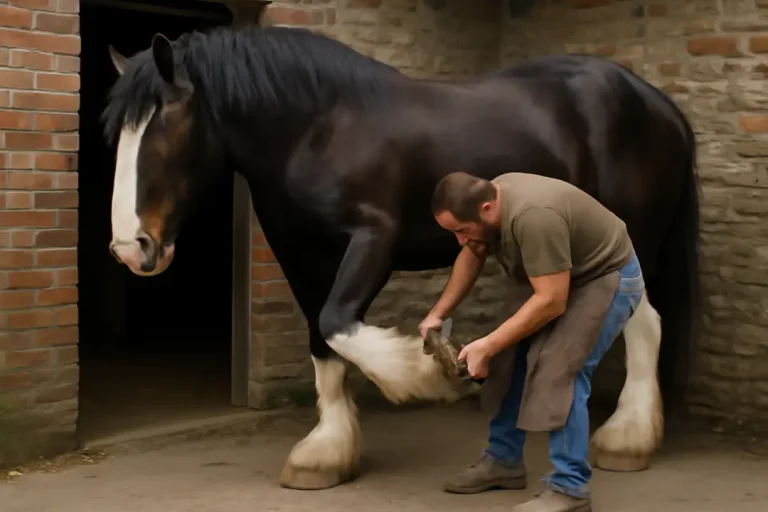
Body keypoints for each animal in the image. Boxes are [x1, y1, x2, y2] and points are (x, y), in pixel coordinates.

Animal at [103, 24, 700, 490]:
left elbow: (339, 322)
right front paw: (327, 451)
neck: (317, 127)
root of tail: (660, 103)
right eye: (119, 134)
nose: (131, 248)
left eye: (167, 125)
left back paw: (627, 438)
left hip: (632, 240)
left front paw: (426, 374)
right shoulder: (299, 253)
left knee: (643, 322)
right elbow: (322, 341)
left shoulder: (374, 239)